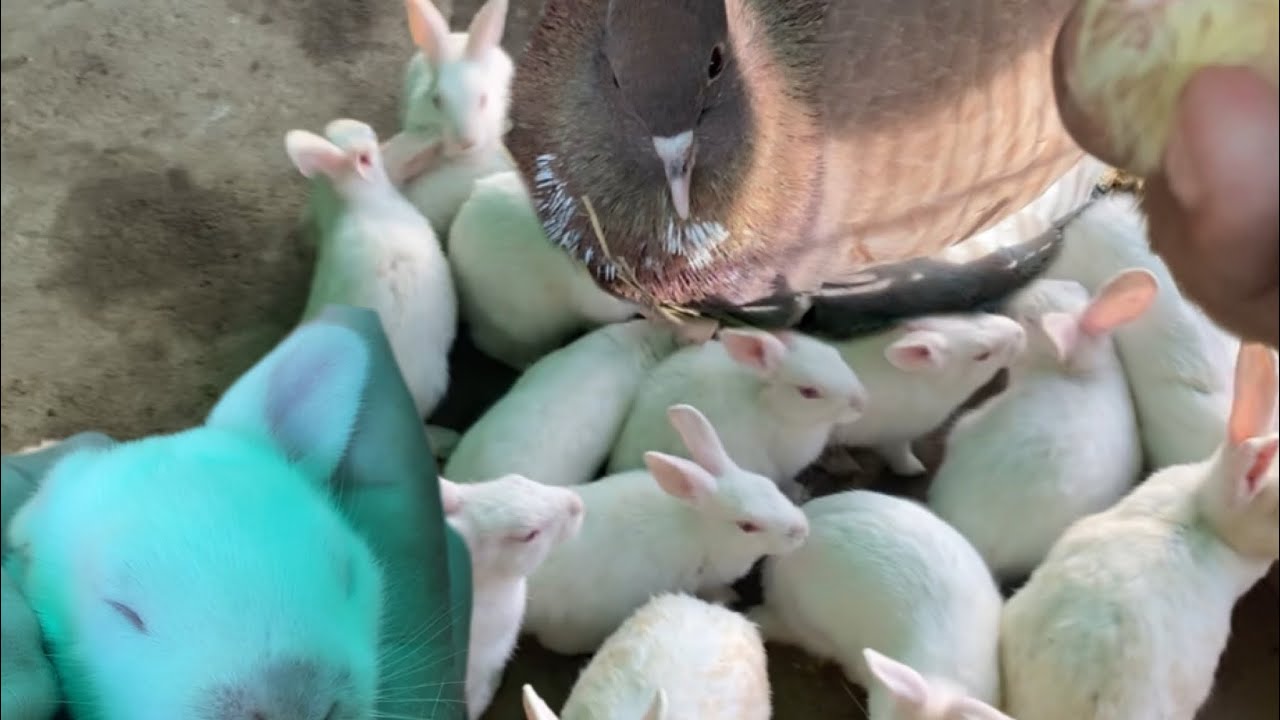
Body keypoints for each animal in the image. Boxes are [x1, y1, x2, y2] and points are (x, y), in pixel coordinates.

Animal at [524, 404, 809, 655]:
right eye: (747, 526)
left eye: (769, 485)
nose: (802, 529)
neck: (704, 530)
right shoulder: (701, 579)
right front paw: (728, 596)